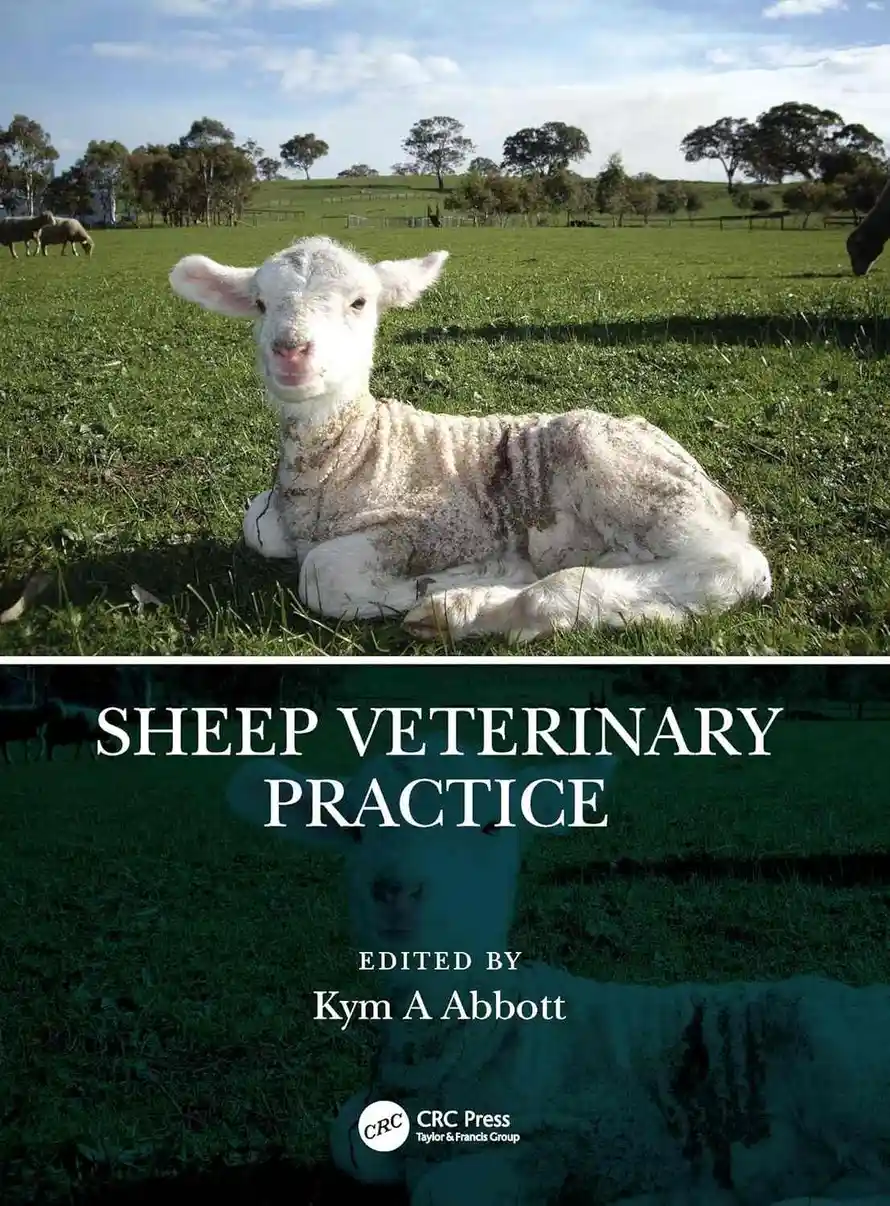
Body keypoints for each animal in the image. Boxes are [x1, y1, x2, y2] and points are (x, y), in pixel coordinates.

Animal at [168, 235, 771, 647]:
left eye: (359, 302)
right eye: (260, 304)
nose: (290, 350)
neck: (351, 454)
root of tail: (715, 493)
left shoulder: (425, 525)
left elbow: (320, 574)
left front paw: (438, 584)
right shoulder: (273, 517)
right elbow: (256, 527)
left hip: (625, 473)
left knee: (734, 567)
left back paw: (471, 604)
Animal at [227, 741, 890, 1206]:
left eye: (491, 823)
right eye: (353, 827)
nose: (396, 889)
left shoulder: (606, 1130)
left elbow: (443, 1189)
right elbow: (350, 1143)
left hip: (835, 1058)